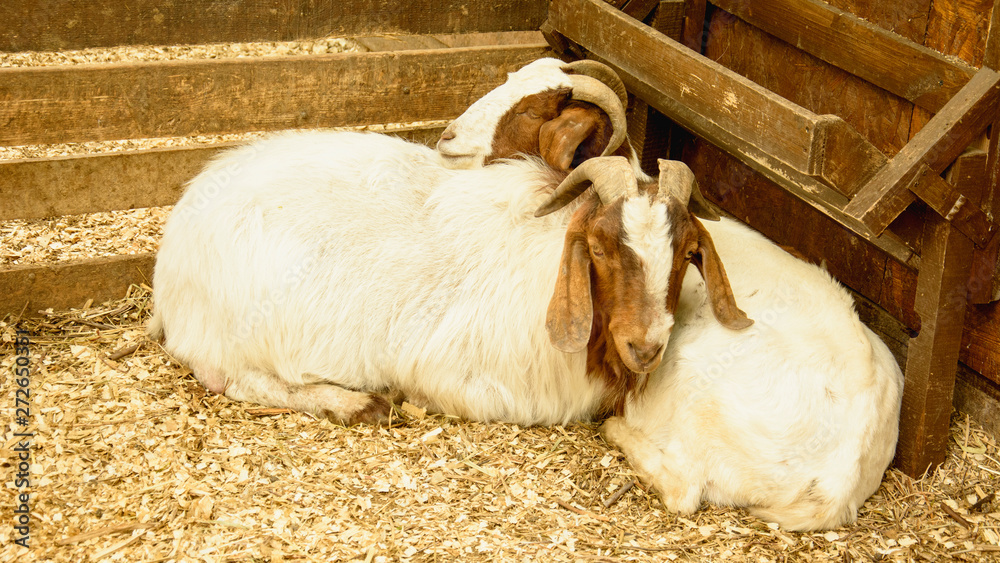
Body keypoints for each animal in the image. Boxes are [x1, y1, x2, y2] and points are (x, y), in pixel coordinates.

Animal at [149, 132, 750, 426]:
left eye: (688, 254)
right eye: (599, 247)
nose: (645, 347)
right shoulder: (462, 376)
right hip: (242, 332)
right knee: (237, 379)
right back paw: (356, 405)